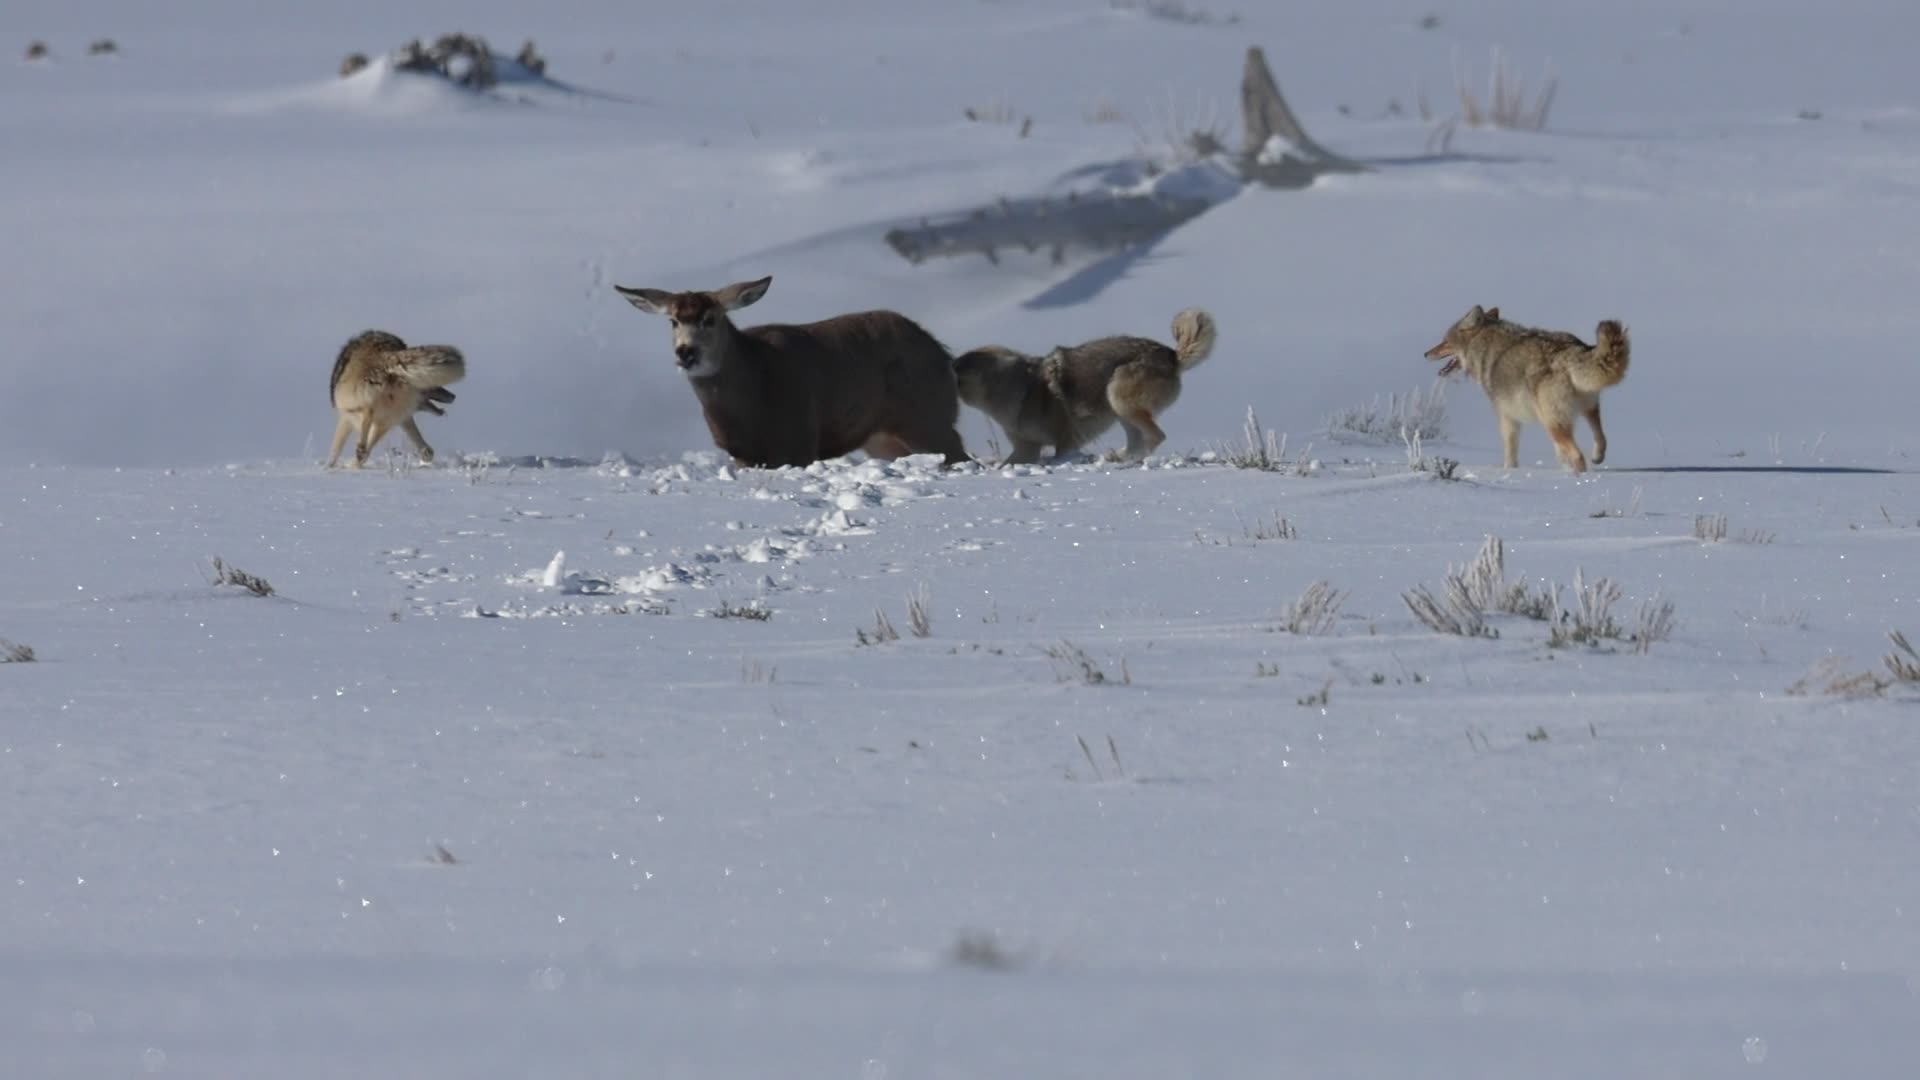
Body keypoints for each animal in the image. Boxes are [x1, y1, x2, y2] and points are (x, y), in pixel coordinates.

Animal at [613, 275, 970, 469]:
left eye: (709, 319)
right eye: (673, 321)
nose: (686, 353)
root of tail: (943, 354)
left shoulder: (799, 441)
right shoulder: (742, 455)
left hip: (927, 416)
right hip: (884, 440)